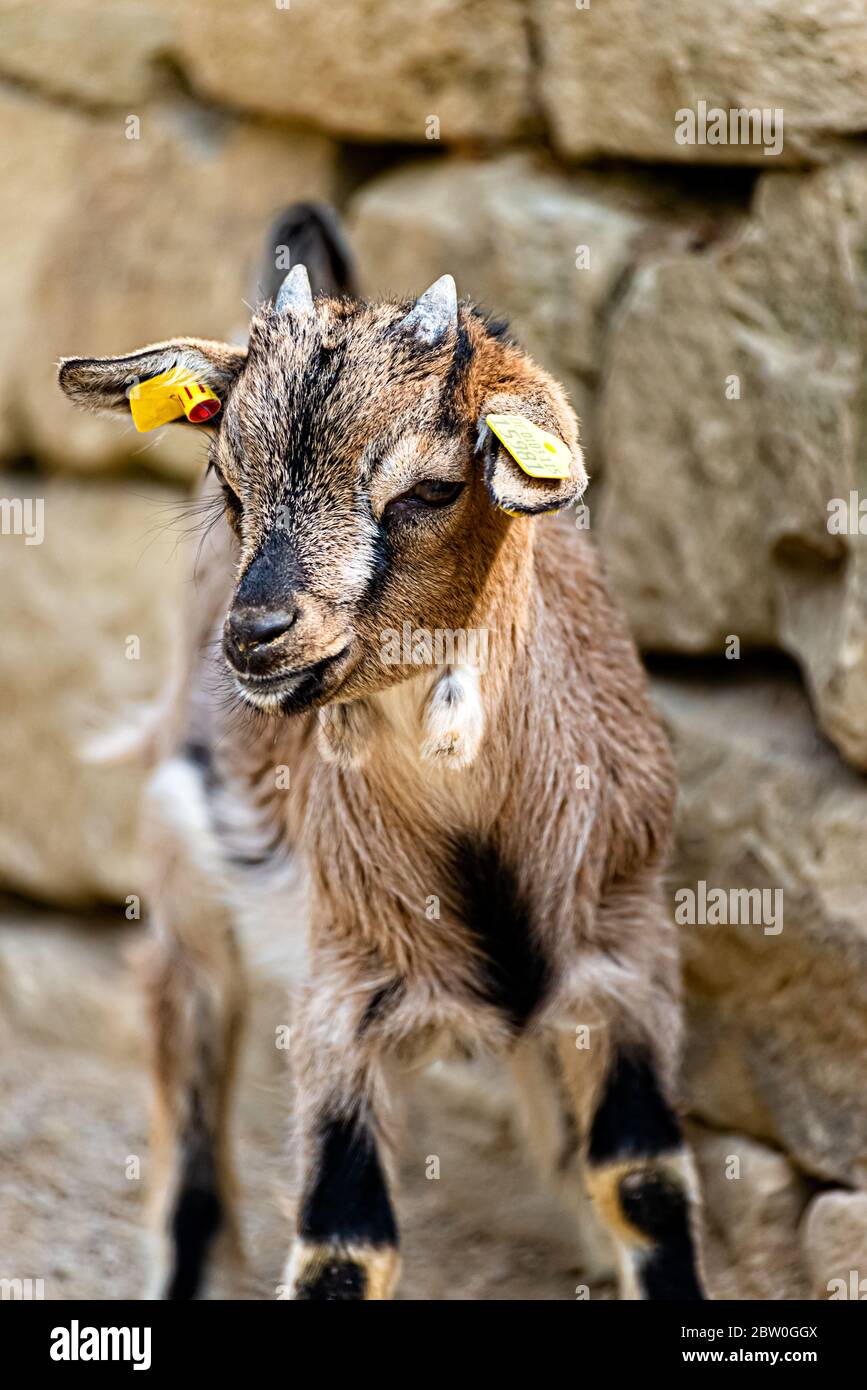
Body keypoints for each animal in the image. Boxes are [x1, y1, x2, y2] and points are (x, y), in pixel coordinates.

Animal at [58, 208, 705, 1301]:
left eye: (433, 489)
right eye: (230, 483)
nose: (258, 637)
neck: (474, 827)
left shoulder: (625, 955)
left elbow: (641, 1184)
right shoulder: (342, 996)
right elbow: (342, 1247)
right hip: (184, 862)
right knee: (185, 1048)